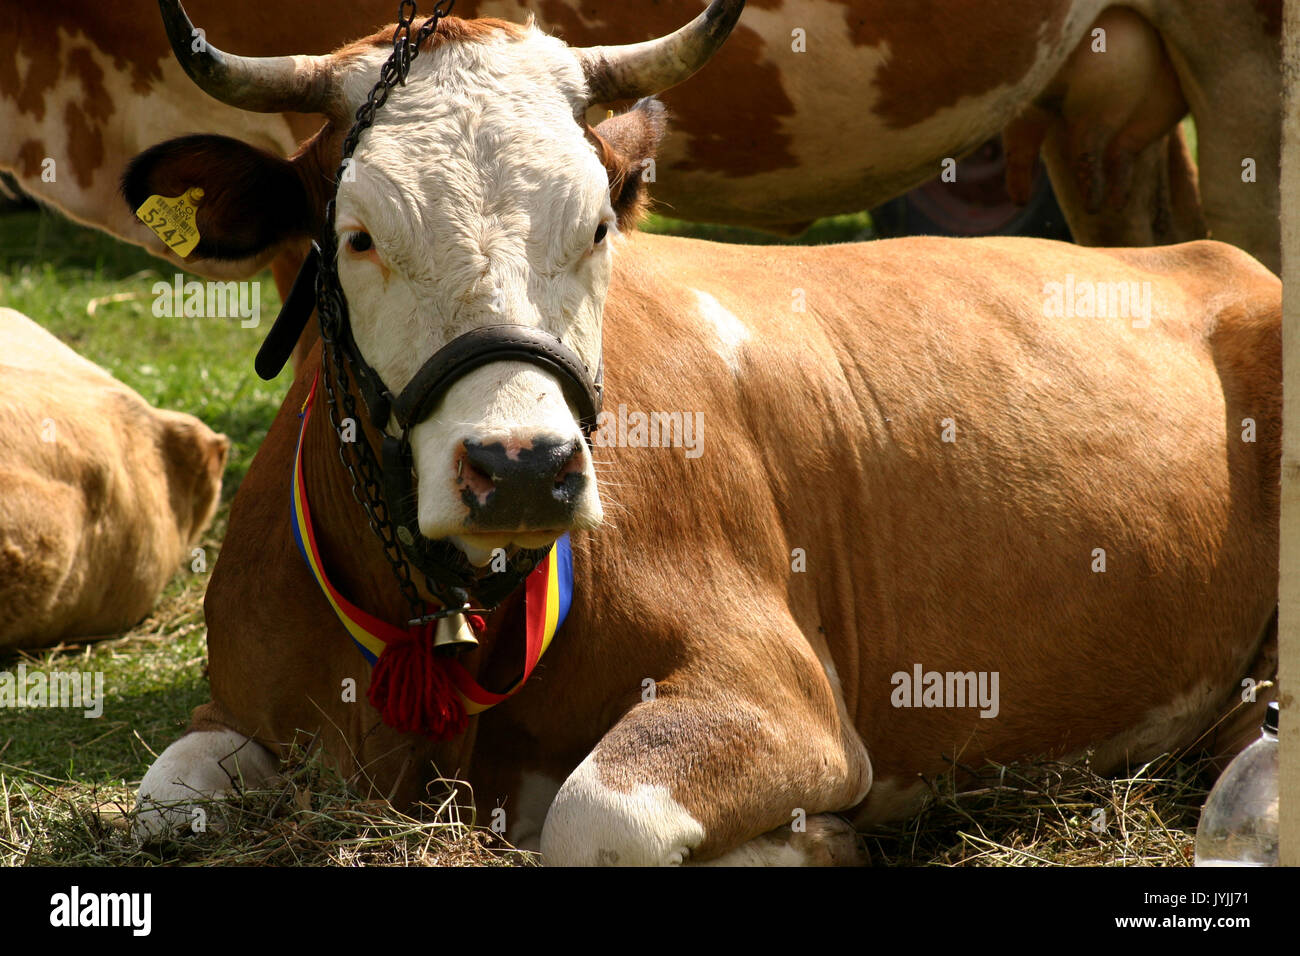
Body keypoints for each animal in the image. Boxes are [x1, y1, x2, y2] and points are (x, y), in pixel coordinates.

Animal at [126, 0, 1280, 865]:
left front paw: (807, 840)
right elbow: (164, 804)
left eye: (598, 223)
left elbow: (598, 818)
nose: (523, 470)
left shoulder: (775, 694)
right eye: (358, 234)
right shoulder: (234, 709)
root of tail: (1201, 259)